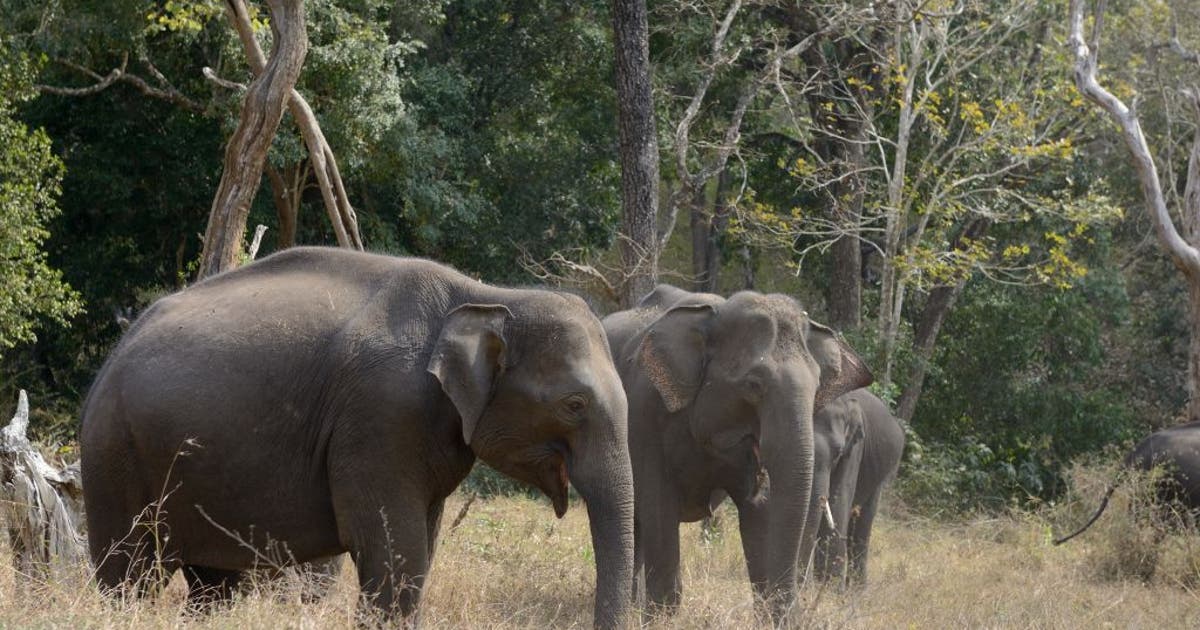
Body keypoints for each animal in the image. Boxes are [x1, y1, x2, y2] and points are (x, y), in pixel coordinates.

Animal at [79, 247, 633, 629]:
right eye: (574, 405)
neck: (488, 295)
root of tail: (116, 350)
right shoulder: (381, 415)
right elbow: (394, 549)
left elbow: (419, 546)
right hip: (115, 454)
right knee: (130, 573)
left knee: (212, 585)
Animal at [602, 284, 871, 619]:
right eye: (753, 385)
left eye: (817, 386)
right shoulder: (644, 414)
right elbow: (659, 506)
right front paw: (662, 618)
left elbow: (760, 512)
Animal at [799, 389, 904, 587]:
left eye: (838, 453)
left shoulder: (855, 449)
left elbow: (839, 502)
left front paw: (831, 590)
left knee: (862, 528)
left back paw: (855, 591)